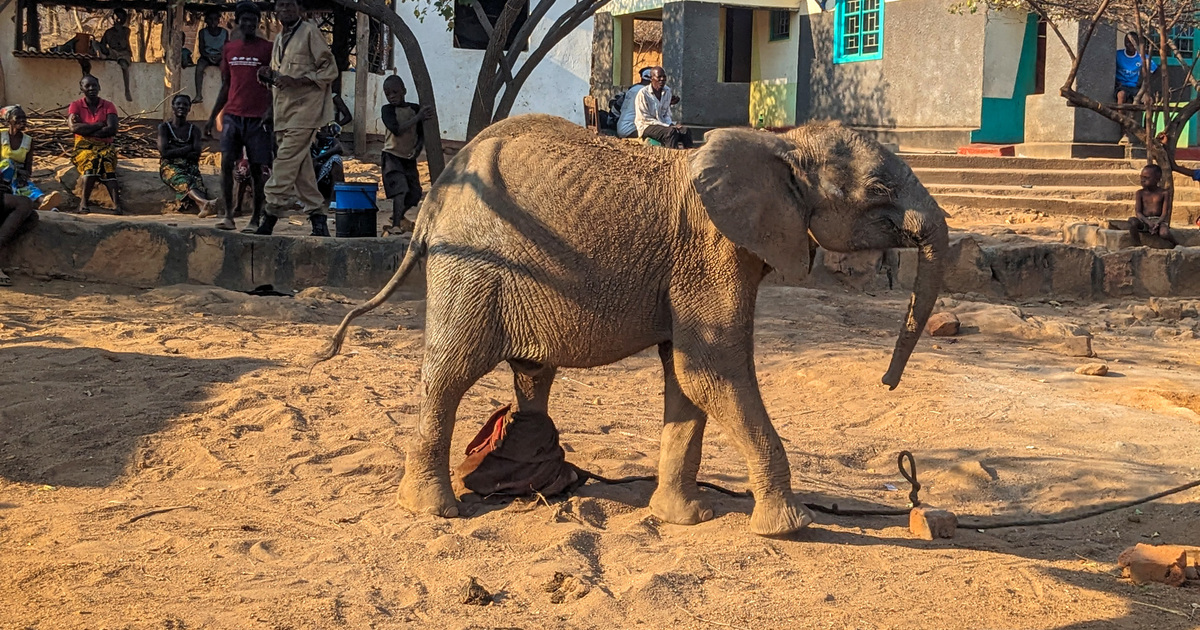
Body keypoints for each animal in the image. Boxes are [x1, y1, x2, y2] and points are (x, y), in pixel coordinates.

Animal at [319, 114, 949, 536]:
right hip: (475, 262)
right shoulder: (713, 254)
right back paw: (435, 510)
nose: (887, 382)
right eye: (879, 190)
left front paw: (684, 519)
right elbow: (711, 373)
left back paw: (537, 484)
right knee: (451, 373)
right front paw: (788, 528)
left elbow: (688, 381)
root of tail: (440, 189)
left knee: (531, 373)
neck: (780, 142)